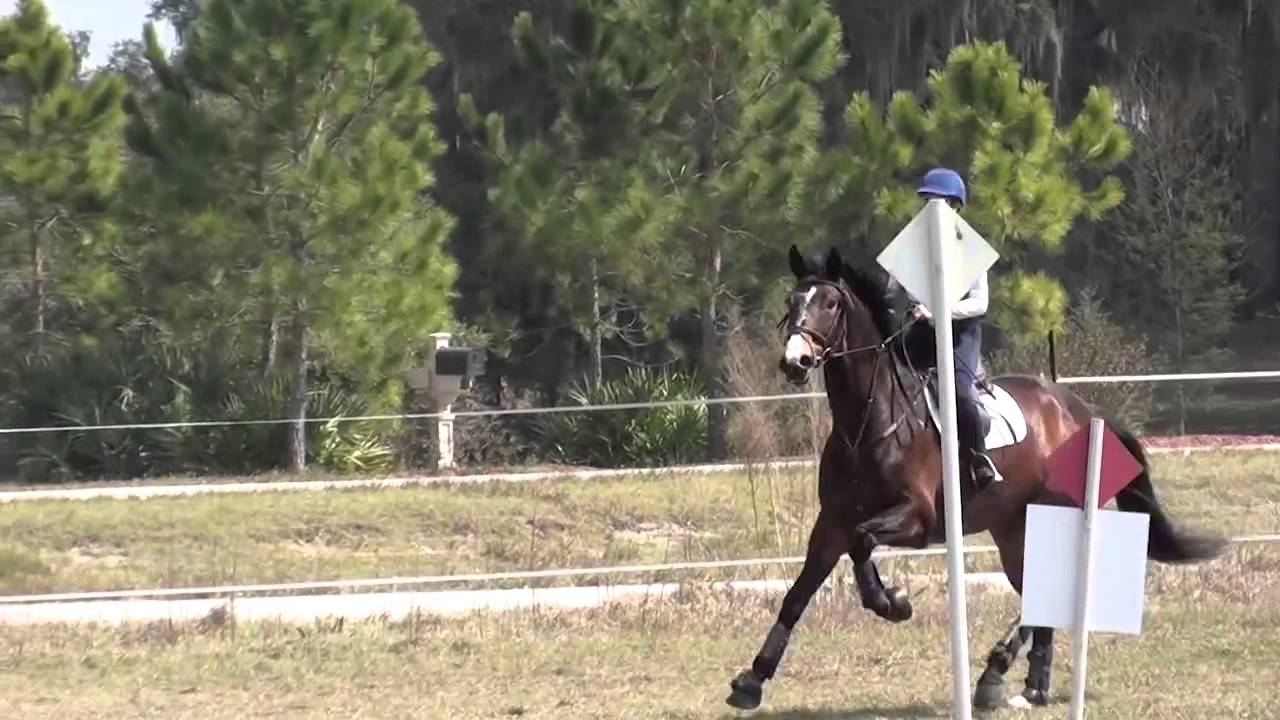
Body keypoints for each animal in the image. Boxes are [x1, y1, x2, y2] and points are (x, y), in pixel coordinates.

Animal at [724, 245, 1228, 712]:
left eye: (830, 303)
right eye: (792, 300)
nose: (795, 361)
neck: (868, 421)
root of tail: (1082, 411)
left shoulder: (916, 519)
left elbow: (863, 542)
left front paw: (893, 603)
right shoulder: (831, 522)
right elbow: (800, 591)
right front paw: (752, 680)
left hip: (1048, 516)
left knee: (1042, 593)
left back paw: (996, 673)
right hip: (1014, 531)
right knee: (1038, 593)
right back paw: (1030, 687)